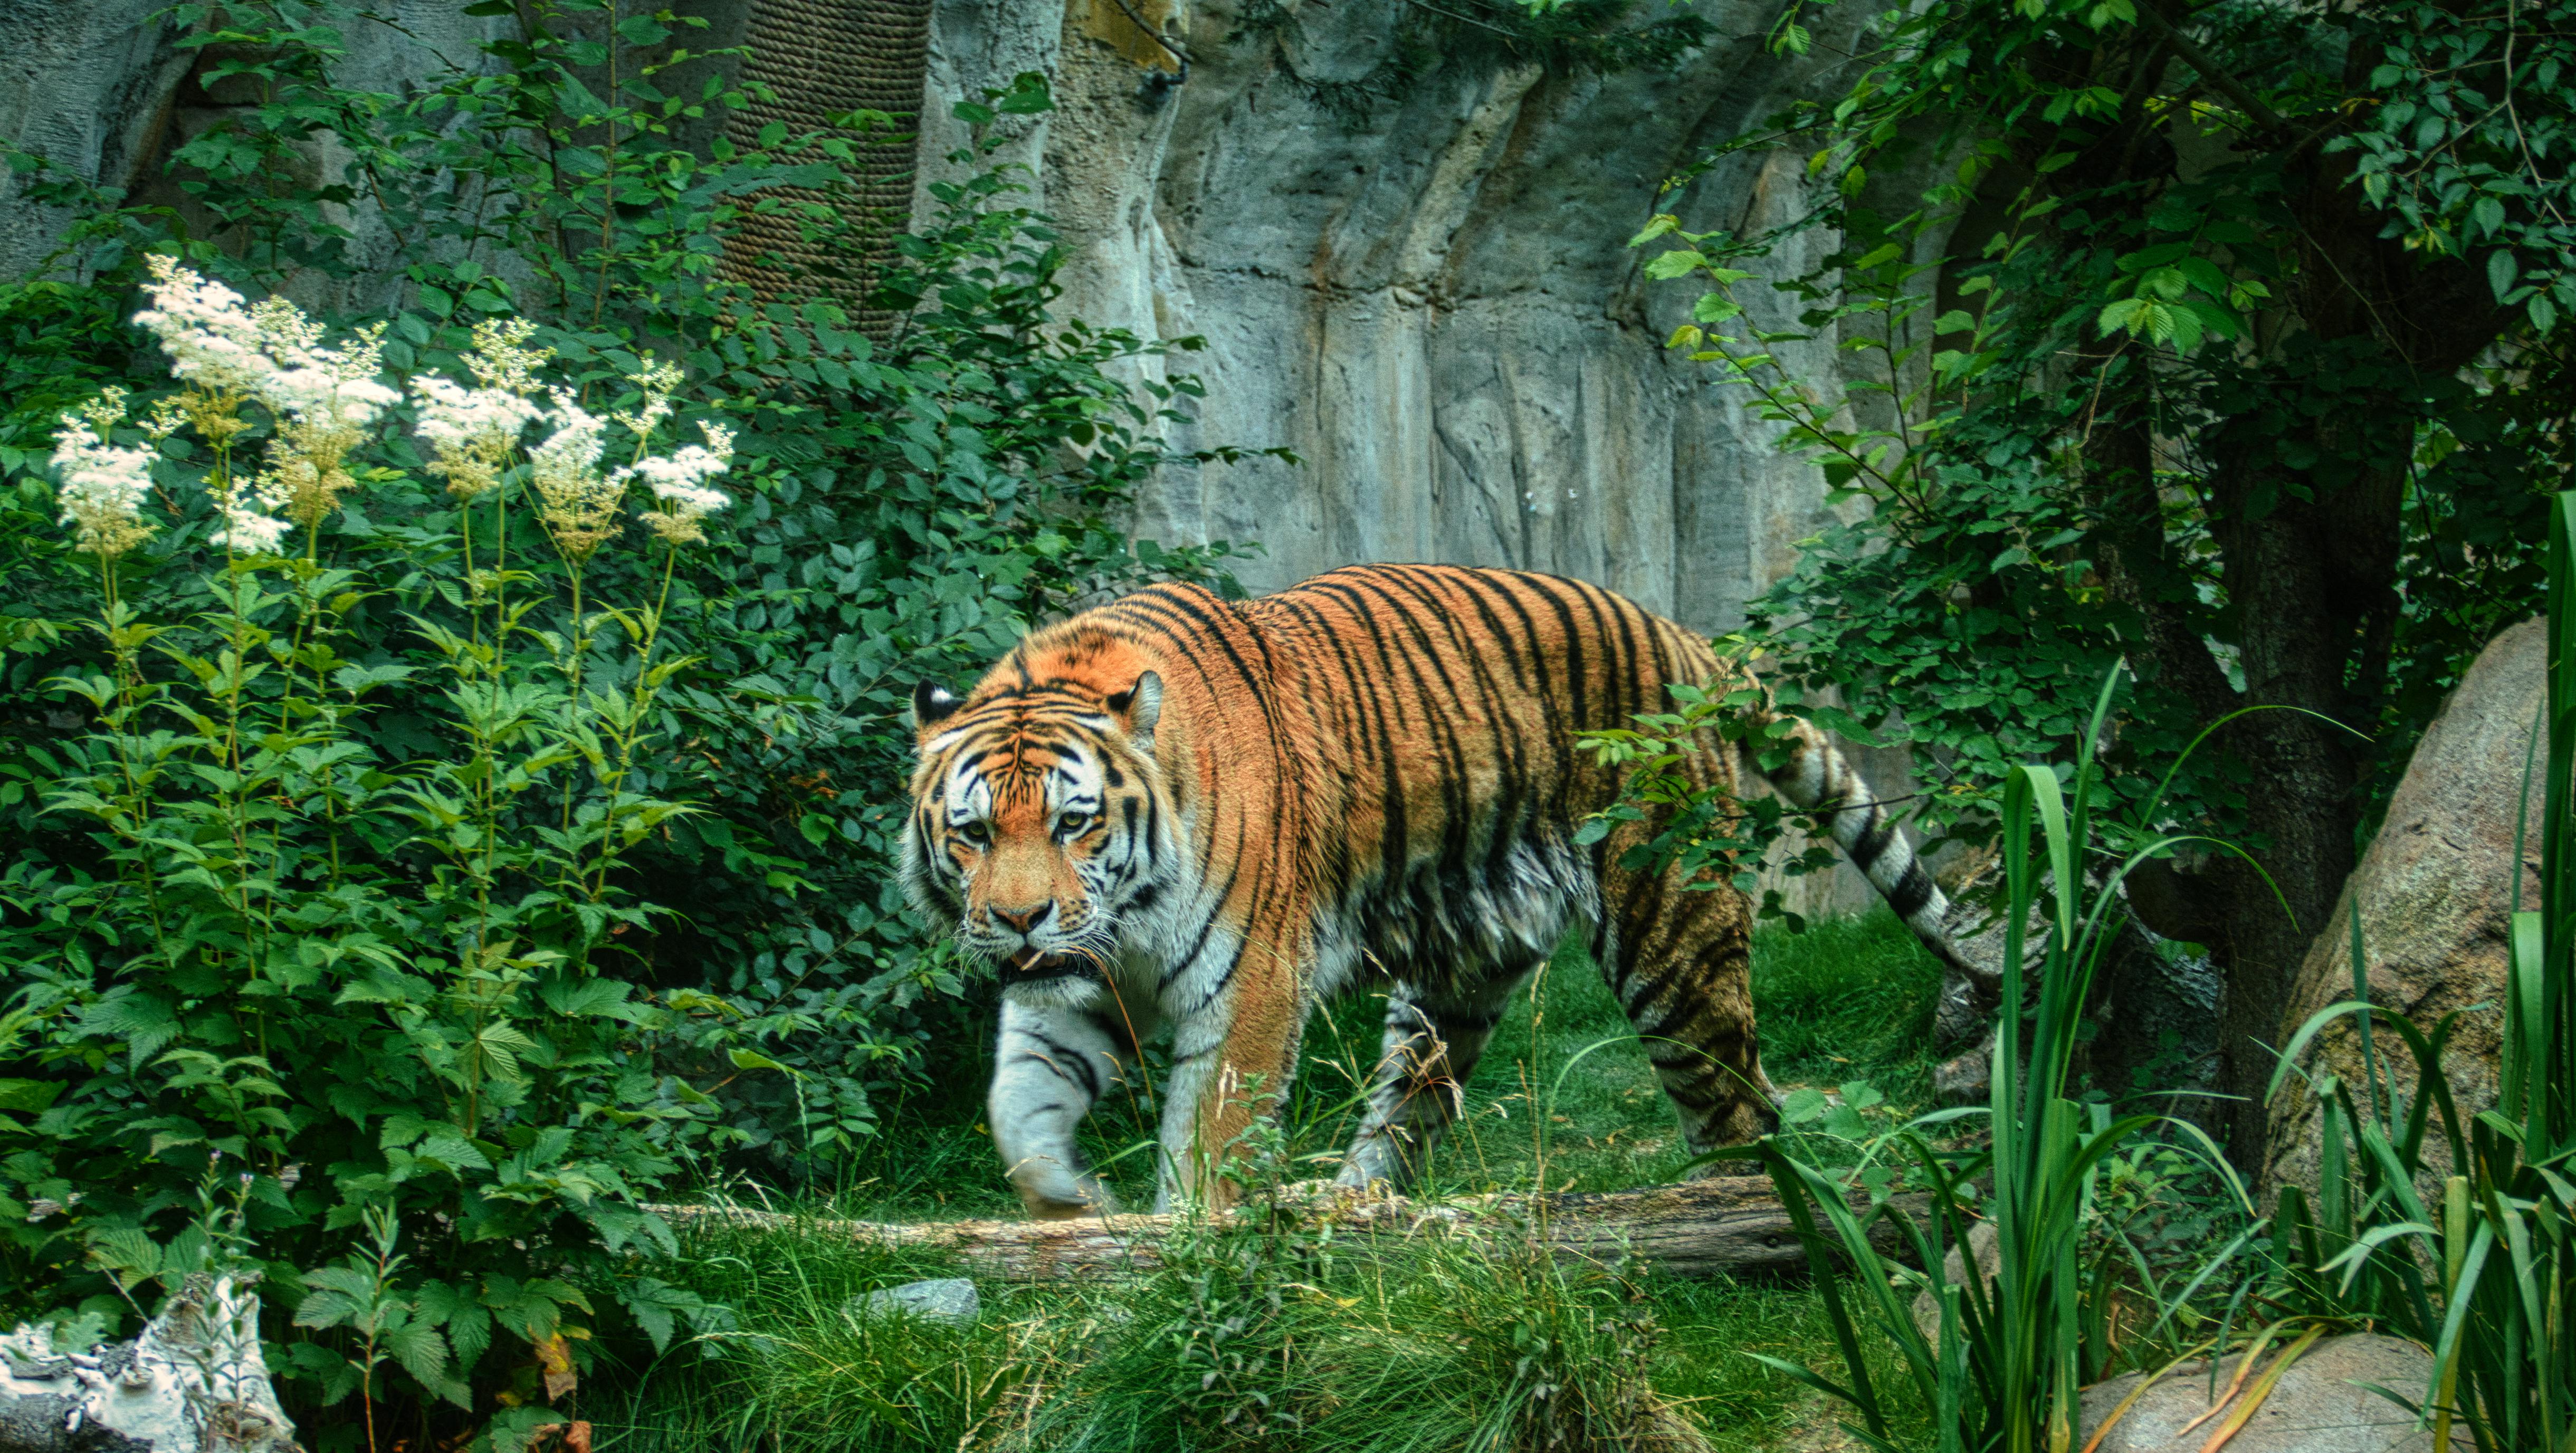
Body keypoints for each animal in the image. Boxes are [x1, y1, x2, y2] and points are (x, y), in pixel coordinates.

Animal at [899, 564, 1967, 1218]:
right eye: (975, 831)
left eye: (1073, 823)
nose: (1019, 919)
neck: (1123, 922)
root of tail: (1684, 639)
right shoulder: (1068, 987)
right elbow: (1018, 1110)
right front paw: (1073, 1209)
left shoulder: (1248, 991)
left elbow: (1210, 1139)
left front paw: (1185, 1249)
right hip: (1459, 974)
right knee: (1411, 1108)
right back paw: (1350, 1207)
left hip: (1674, 932)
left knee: (1740, 1107)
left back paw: (1732, 1215)